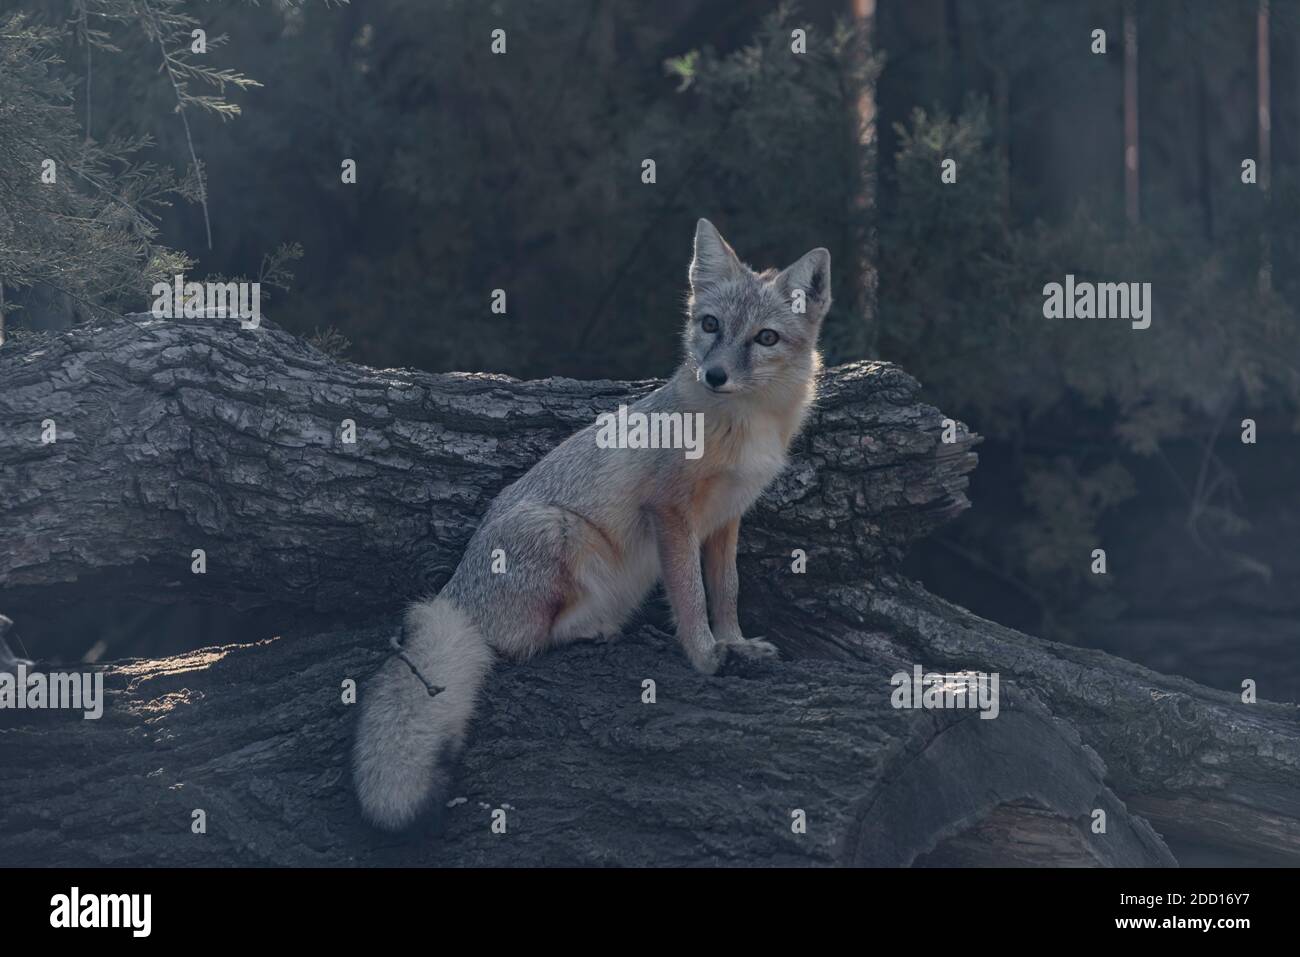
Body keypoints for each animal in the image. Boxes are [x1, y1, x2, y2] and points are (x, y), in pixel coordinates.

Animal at [352, 219, 831, 832]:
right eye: (711, 325)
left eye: (765, 338)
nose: (715, 373)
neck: (745, 428)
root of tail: (450, 598)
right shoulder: (670, 511)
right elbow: (691, 594)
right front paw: (703, 655)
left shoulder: (727, 519)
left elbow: (725, 590)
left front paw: (736, 643)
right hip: (562, 533)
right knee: (520, 645)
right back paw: (591, 632)